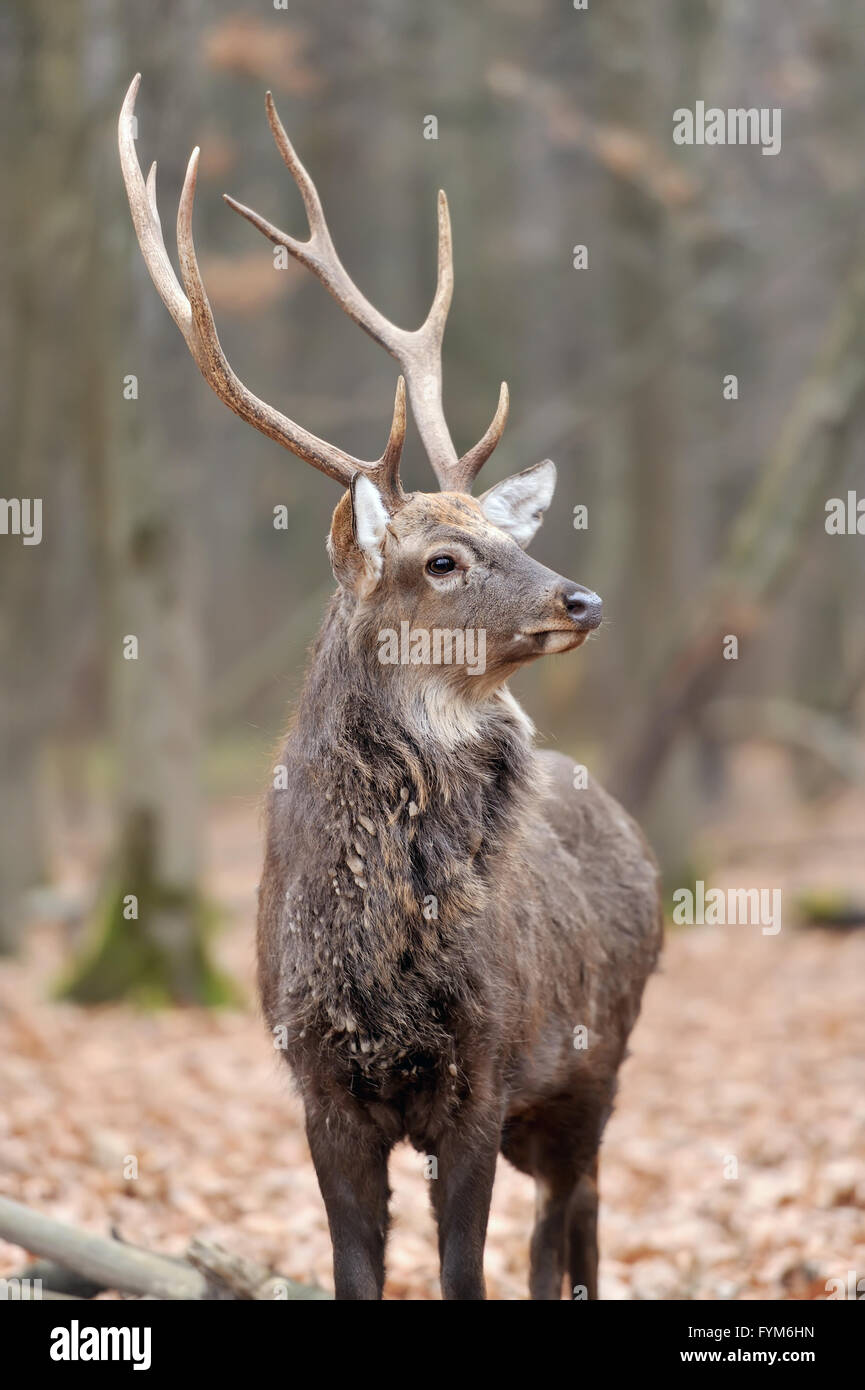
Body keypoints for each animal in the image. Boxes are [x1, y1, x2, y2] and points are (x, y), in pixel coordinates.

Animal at [119, 75, 662, 1301]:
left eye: (501, 538)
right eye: (442, 560)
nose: (582, 599)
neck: (380, 964)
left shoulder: (485, 1071)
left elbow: (467, 1272)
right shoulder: (317, 1084)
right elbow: (356, 1272)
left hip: (595, 1063)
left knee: (566, 1230)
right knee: (573, 1225)